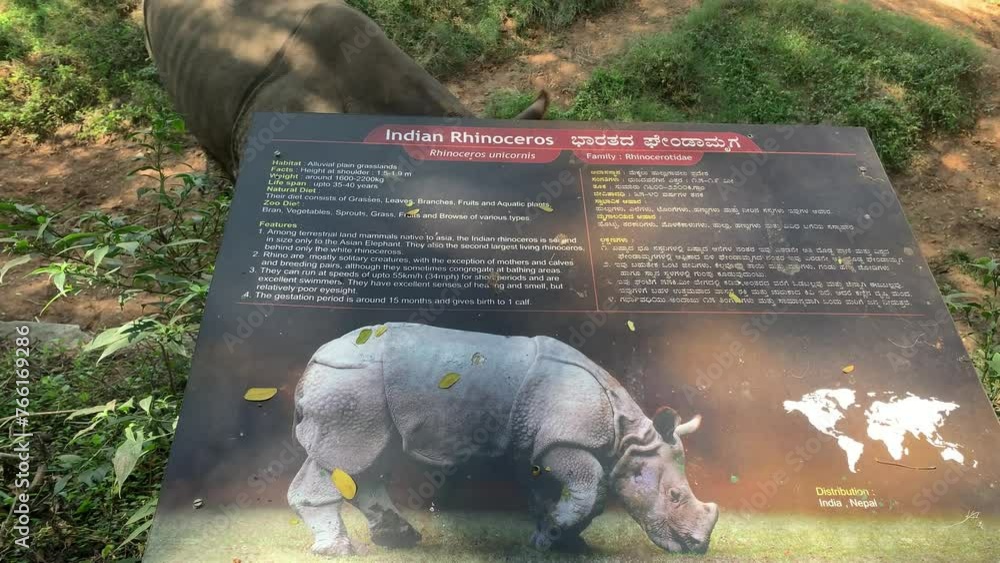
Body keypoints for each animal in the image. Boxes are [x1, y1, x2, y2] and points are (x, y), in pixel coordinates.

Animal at [289, 323, 719, 556]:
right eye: (675, 496)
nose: (698, 546)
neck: (626, 436)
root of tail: (312, 361)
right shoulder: (565, 441)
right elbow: (591, 490)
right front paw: (551, 539)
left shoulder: (536, 446)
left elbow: (545, 495)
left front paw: (559, 541)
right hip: (350, 386)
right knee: (345, 458)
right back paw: (339, 550)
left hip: (358, 392)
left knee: (368, 462)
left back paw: (399, 539)